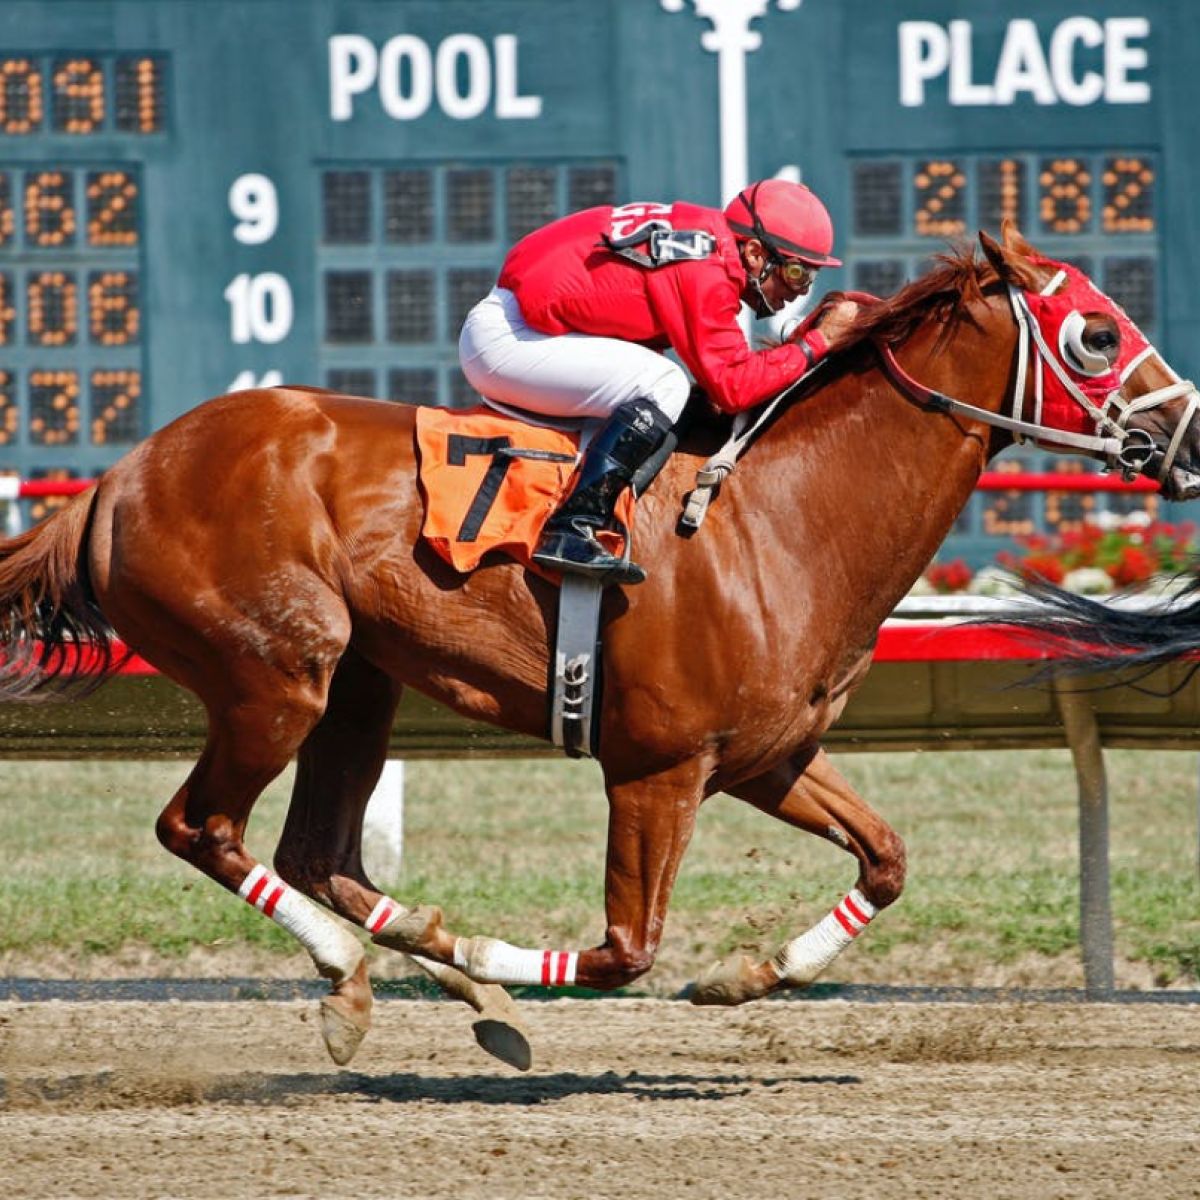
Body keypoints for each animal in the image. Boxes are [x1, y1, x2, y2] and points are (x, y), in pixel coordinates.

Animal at [2, 222, 1198, 1071]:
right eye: (1097, 334)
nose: (1186, 437)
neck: (779, 521)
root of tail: (118, 478)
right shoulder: (655, 770)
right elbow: (628, 951)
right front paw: (508, 965)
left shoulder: (766, 758)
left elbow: (889, 860)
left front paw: (747, 976)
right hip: (276, 676)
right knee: (200, 827)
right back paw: (372, 976)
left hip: (357, 684)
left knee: (316, 854)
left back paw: (434, 975)